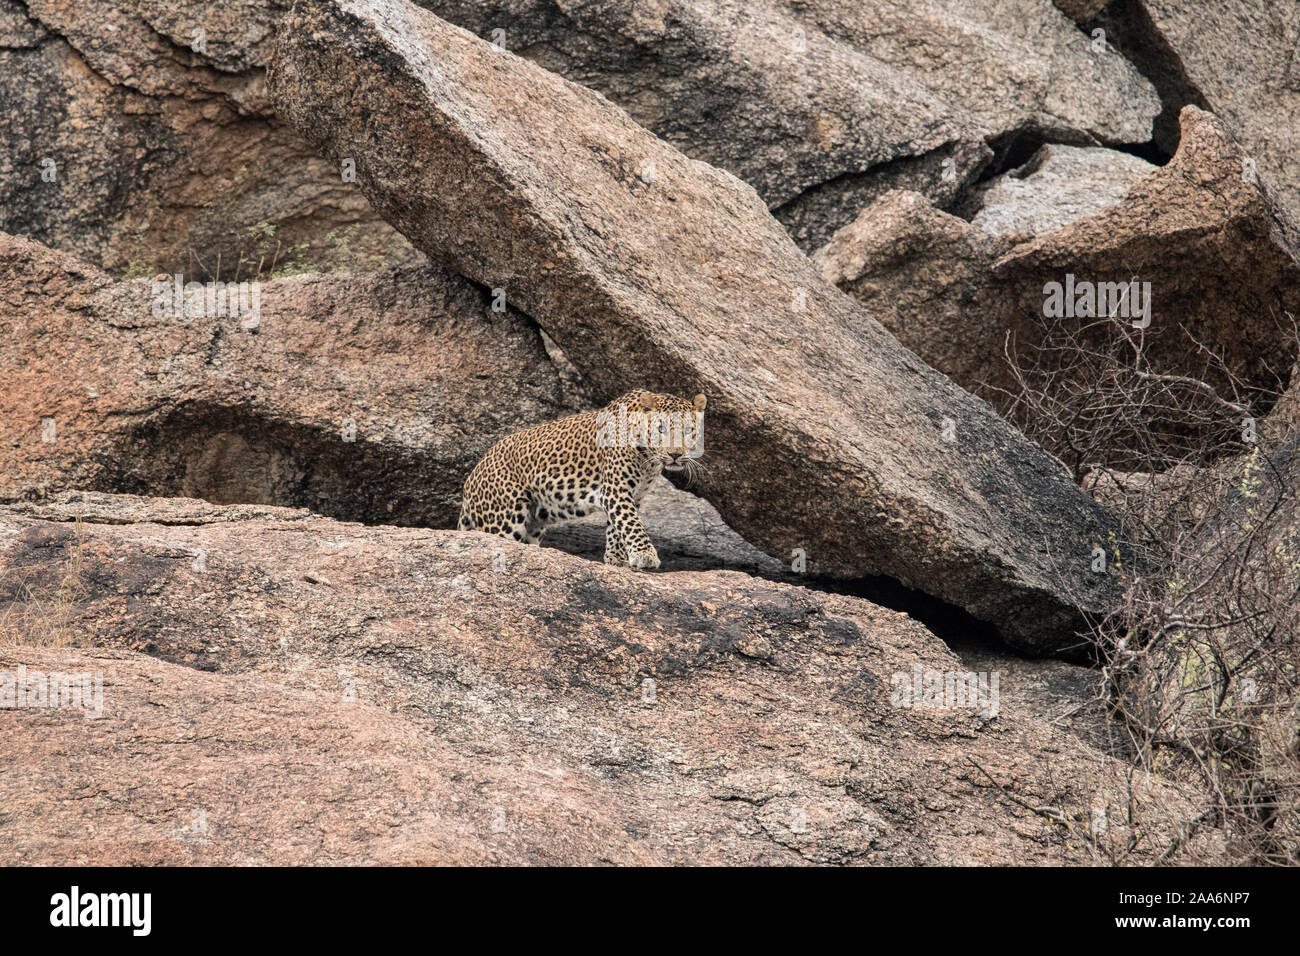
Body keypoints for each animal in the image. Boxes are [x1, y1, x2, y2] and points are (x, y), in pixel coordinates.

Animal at [458, 390, 707, 569]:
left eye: (688, 431)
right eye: (661, 429)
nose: (675, 454)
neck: (648, 460)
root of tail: (469, 481)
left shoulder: (631, 495)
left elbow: (617, 527)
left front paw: (616, 559)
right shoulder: (616, 490)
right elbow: (631, 523)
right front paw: (645, 555)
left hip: (533, 524)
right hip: (504, 518)